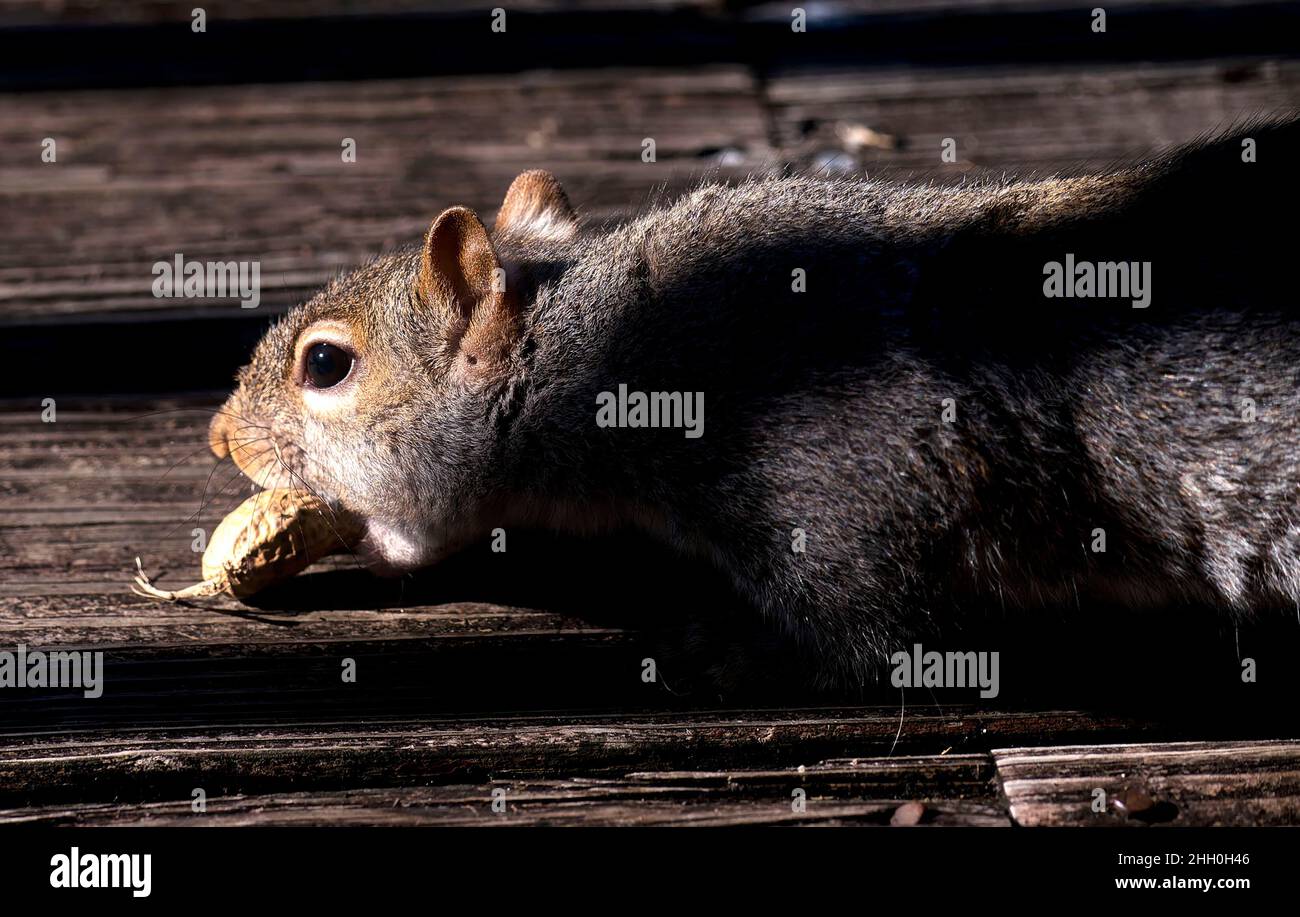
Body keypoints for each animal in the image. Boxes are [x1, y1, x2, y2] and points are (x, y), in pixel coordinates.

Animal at [209, 116, 1300, 690]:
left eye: (324, 364)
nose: (222, 438)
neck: (621, 359)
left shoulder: (847, 497)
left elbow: (882, 637)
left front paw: (714, 642)